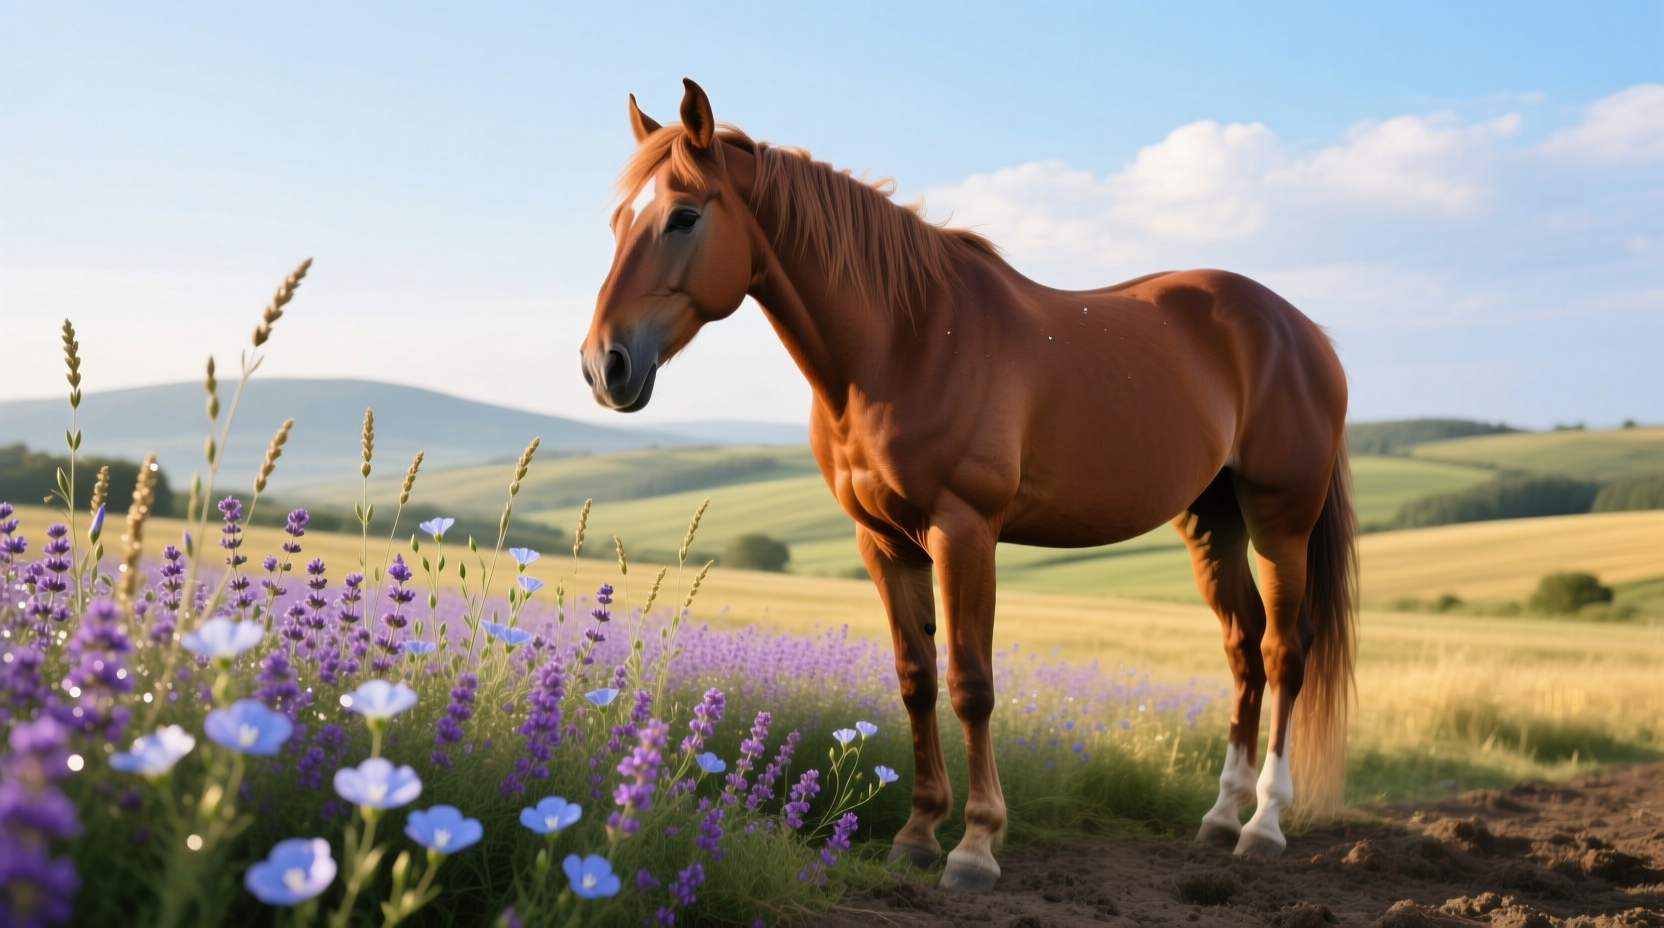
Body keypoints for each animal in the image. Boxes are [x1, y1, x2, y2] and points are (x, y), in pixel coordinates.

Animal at [581, 79, 1357, 892]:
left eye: (684, 216)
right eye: (619, 221)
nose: (605, 366)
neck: (905, 344)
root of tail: (1303, 332)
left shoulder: (965, 532)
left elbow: (971, 685)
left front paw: (976, 846)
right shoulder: (883, 541)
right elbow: (916, 679)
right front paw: (918, 833)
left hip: (1279, 520)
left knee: (1283, 651)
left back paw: (1264, 825)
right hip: (1213, 521)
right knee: (1242, 648)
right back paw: (1220, 818)